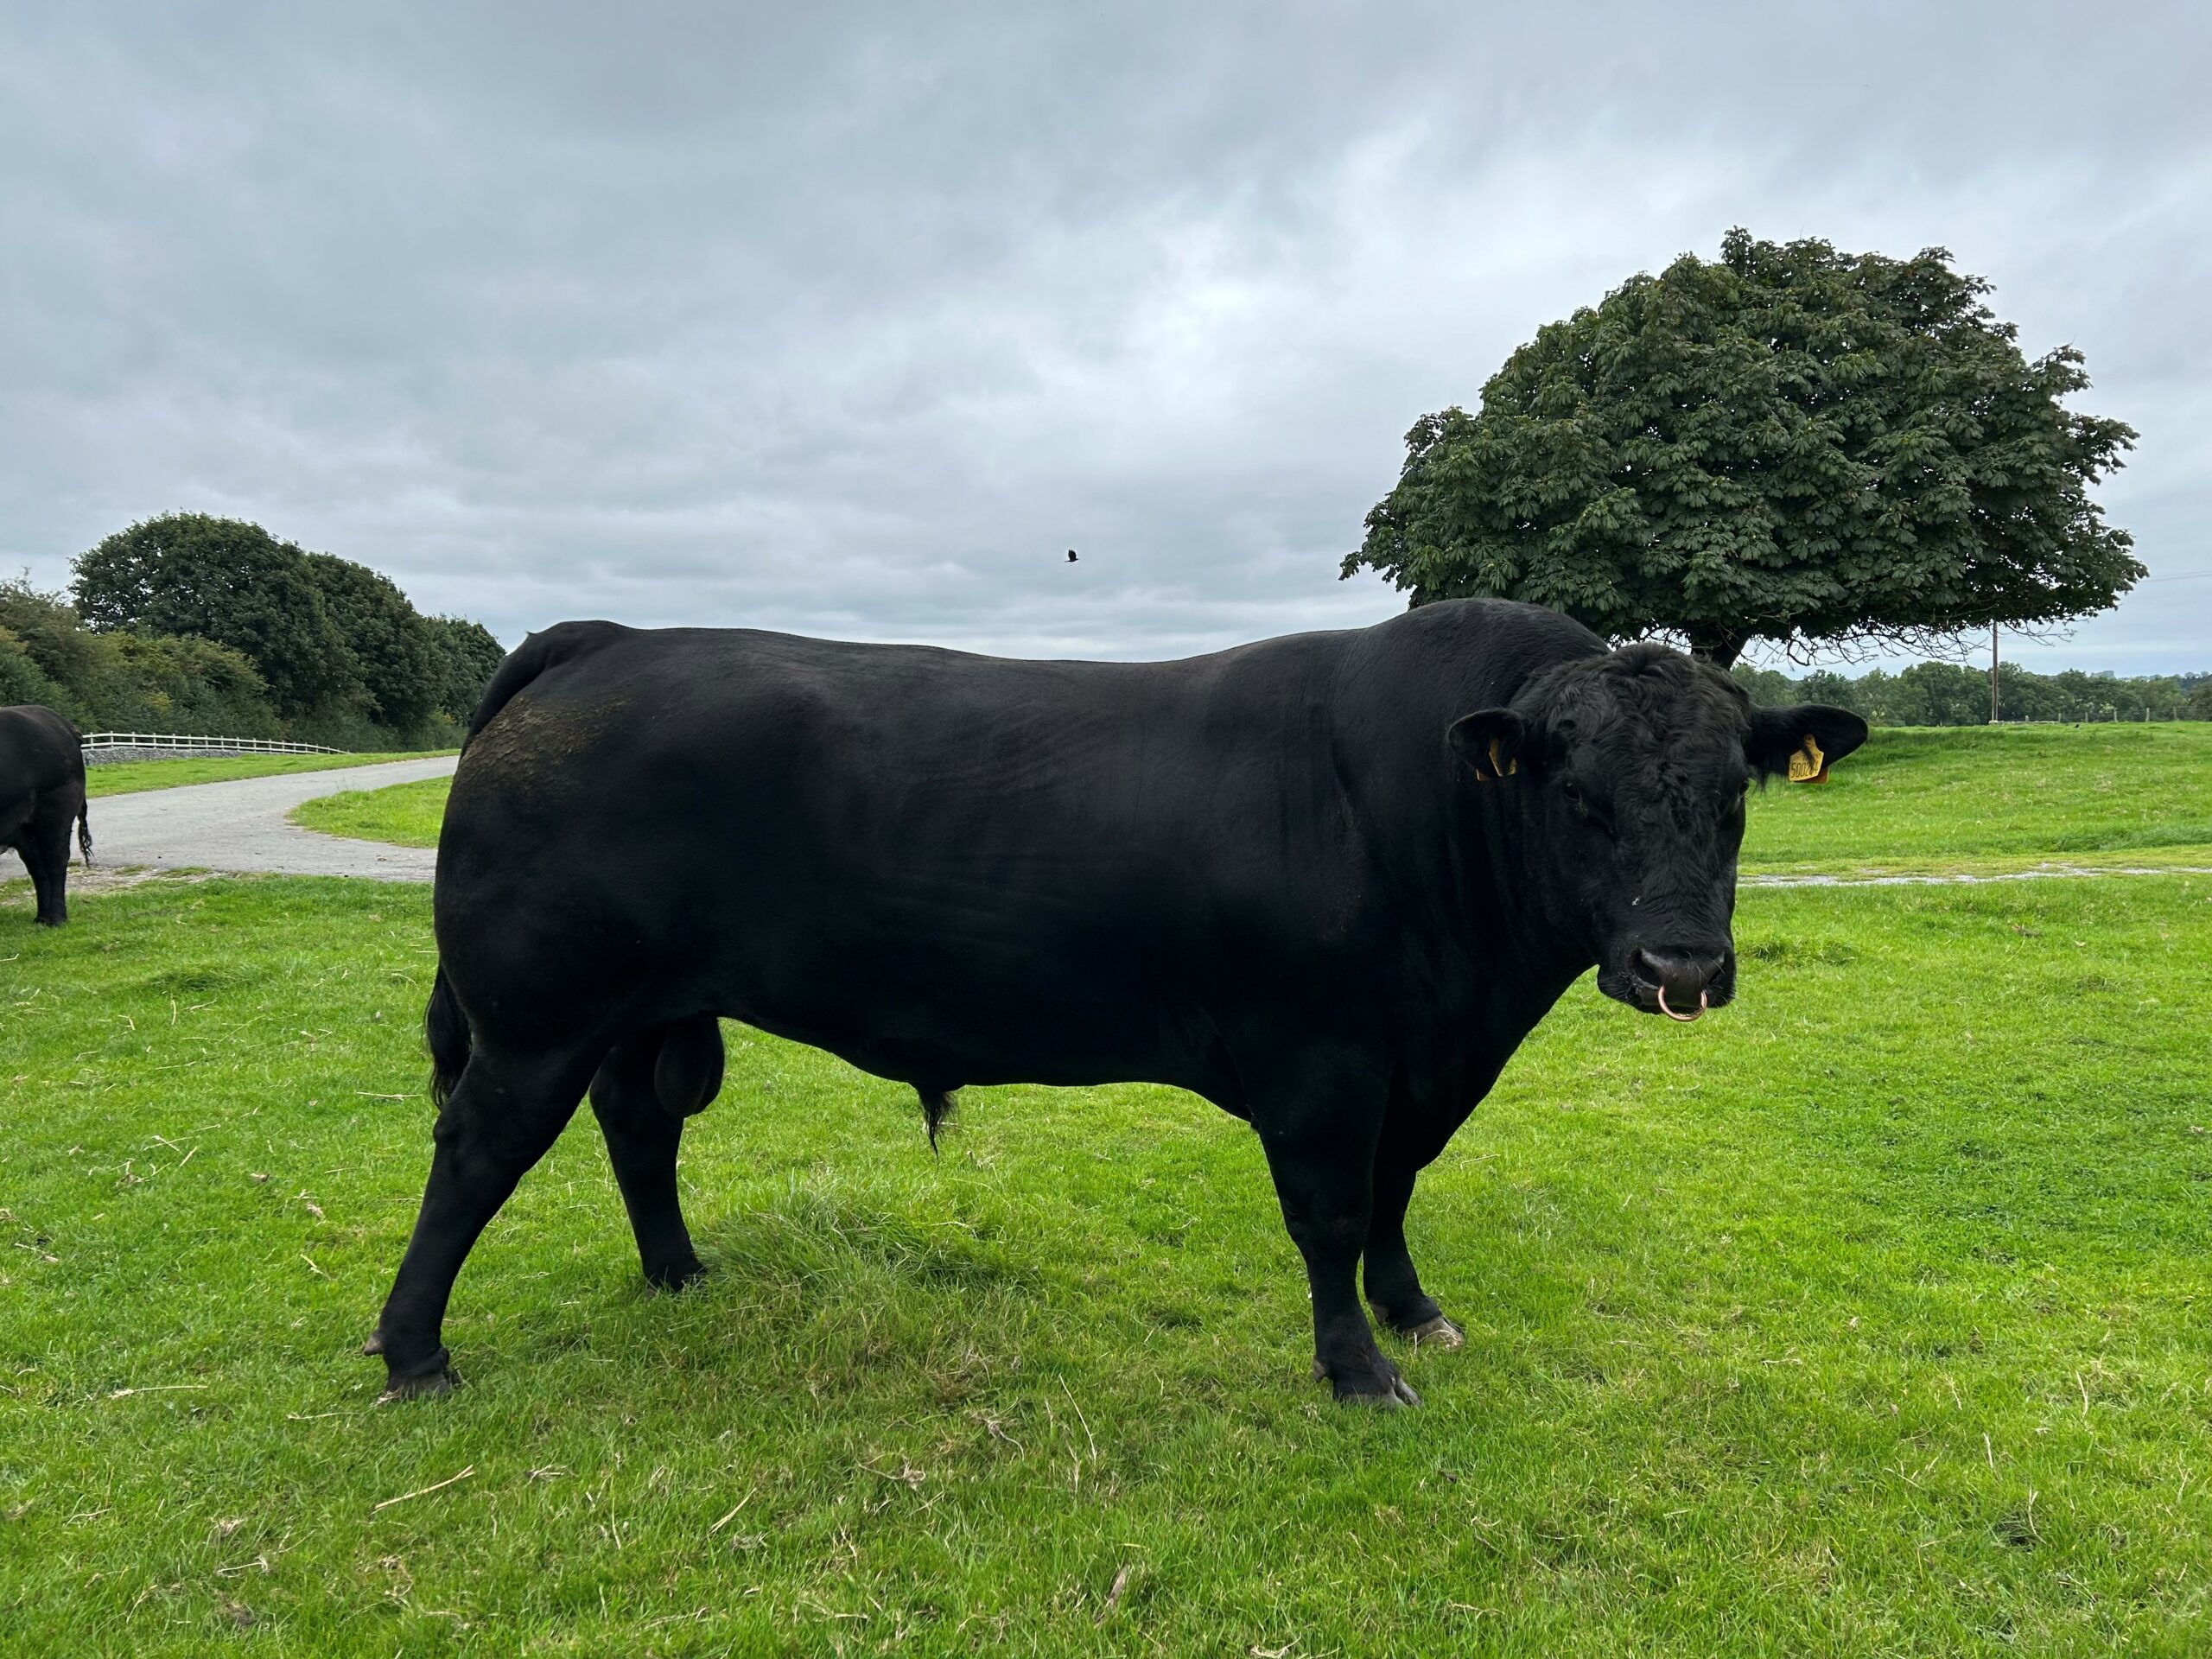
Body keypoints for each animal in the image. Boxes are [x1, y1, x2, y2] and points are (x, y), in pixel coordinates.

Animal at [0, 704, 93, 927]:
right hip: (26, 828)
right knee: (38, 868)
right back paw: (42, 918)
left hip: (56, 813)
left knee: (55, 862)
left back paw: (57, 919)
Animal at [366, 599, 1866, 1406]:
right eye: (1579, 795)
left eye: (1733, 797)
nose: (1682, 970)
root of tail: (604, 643)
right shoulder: (1322, 1062)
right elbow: (1331, 1216)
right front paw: (1358, 1370)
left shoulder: (1416, 1067)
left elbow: (1394, 1197)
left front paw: (1412, 1311)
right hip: (536, 1017)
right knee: (478, 1156)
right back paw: (415, 1351)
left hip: (635, 1012)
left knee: (639, 1127)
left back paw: (679, 1275)